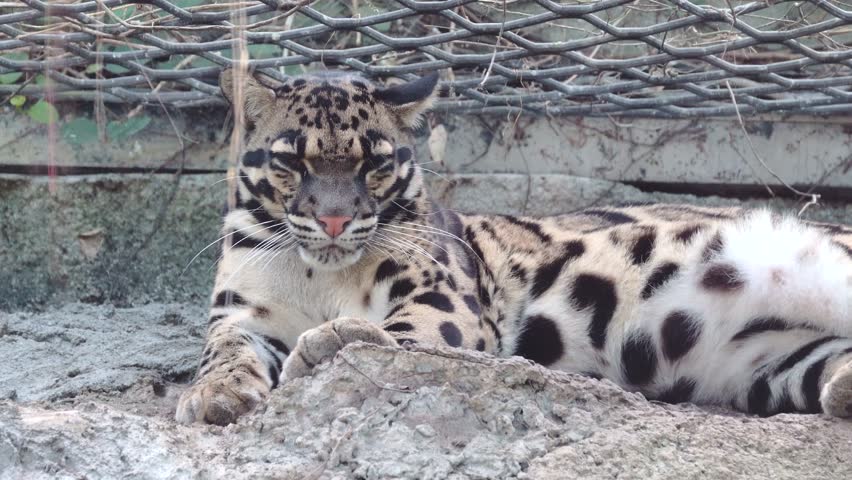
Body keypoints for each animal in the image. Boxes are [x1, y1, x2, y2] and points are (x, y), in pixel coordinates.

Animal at [176, 68, 852, 426]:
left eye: (374, 164)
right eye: (292, 162)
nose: (337, 220)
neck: (321, 273)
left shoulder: (445, 297)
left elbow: (407, 335)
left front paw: (334, 344)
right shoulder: (241, 311)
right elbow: (223, 350)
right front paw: (215, 393)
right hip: (773, 362)